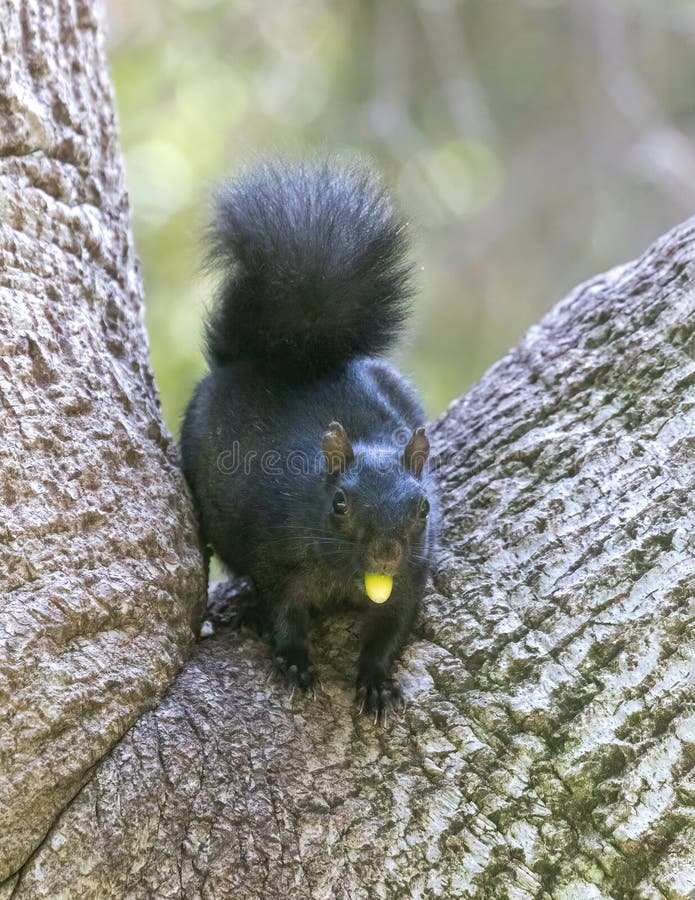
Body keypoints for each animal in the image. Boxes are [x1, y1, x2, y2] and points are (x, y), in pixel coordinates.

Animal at [181, 159, 439, 720]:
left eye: (424, 507)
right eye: (339, 503)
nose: (386, 555)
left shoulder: (412, 575)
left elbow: (393, 629)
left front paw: (375, 681)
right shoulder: (279, 558)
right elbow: (284, 612)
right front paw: (296, 662)